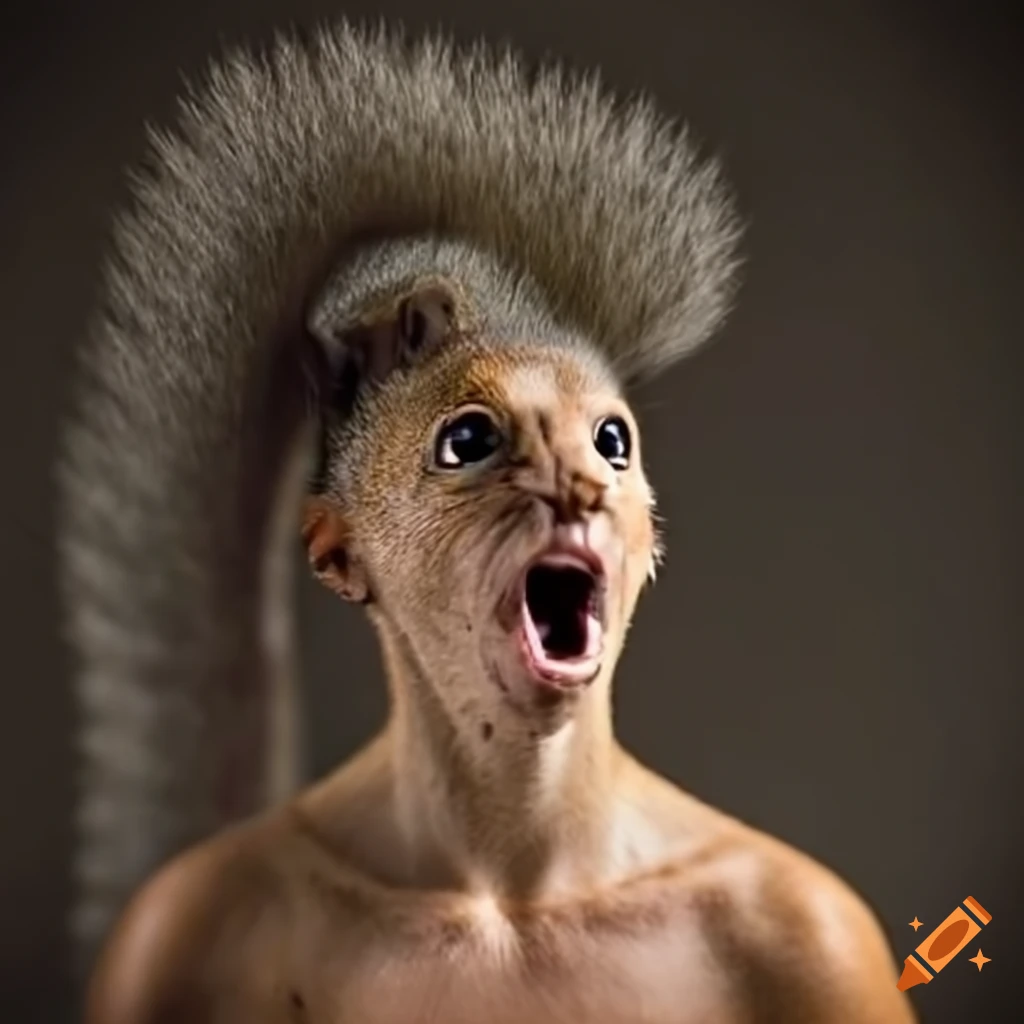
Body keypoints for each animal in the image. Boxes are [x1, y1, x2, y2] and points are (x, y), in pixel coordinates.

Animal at [59, 21, 917, 1024]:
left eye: (612, 441)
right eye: (466, 439)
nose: (581, 490)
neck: (511, 867)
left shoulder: (820, 937)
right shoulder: (179, 924)